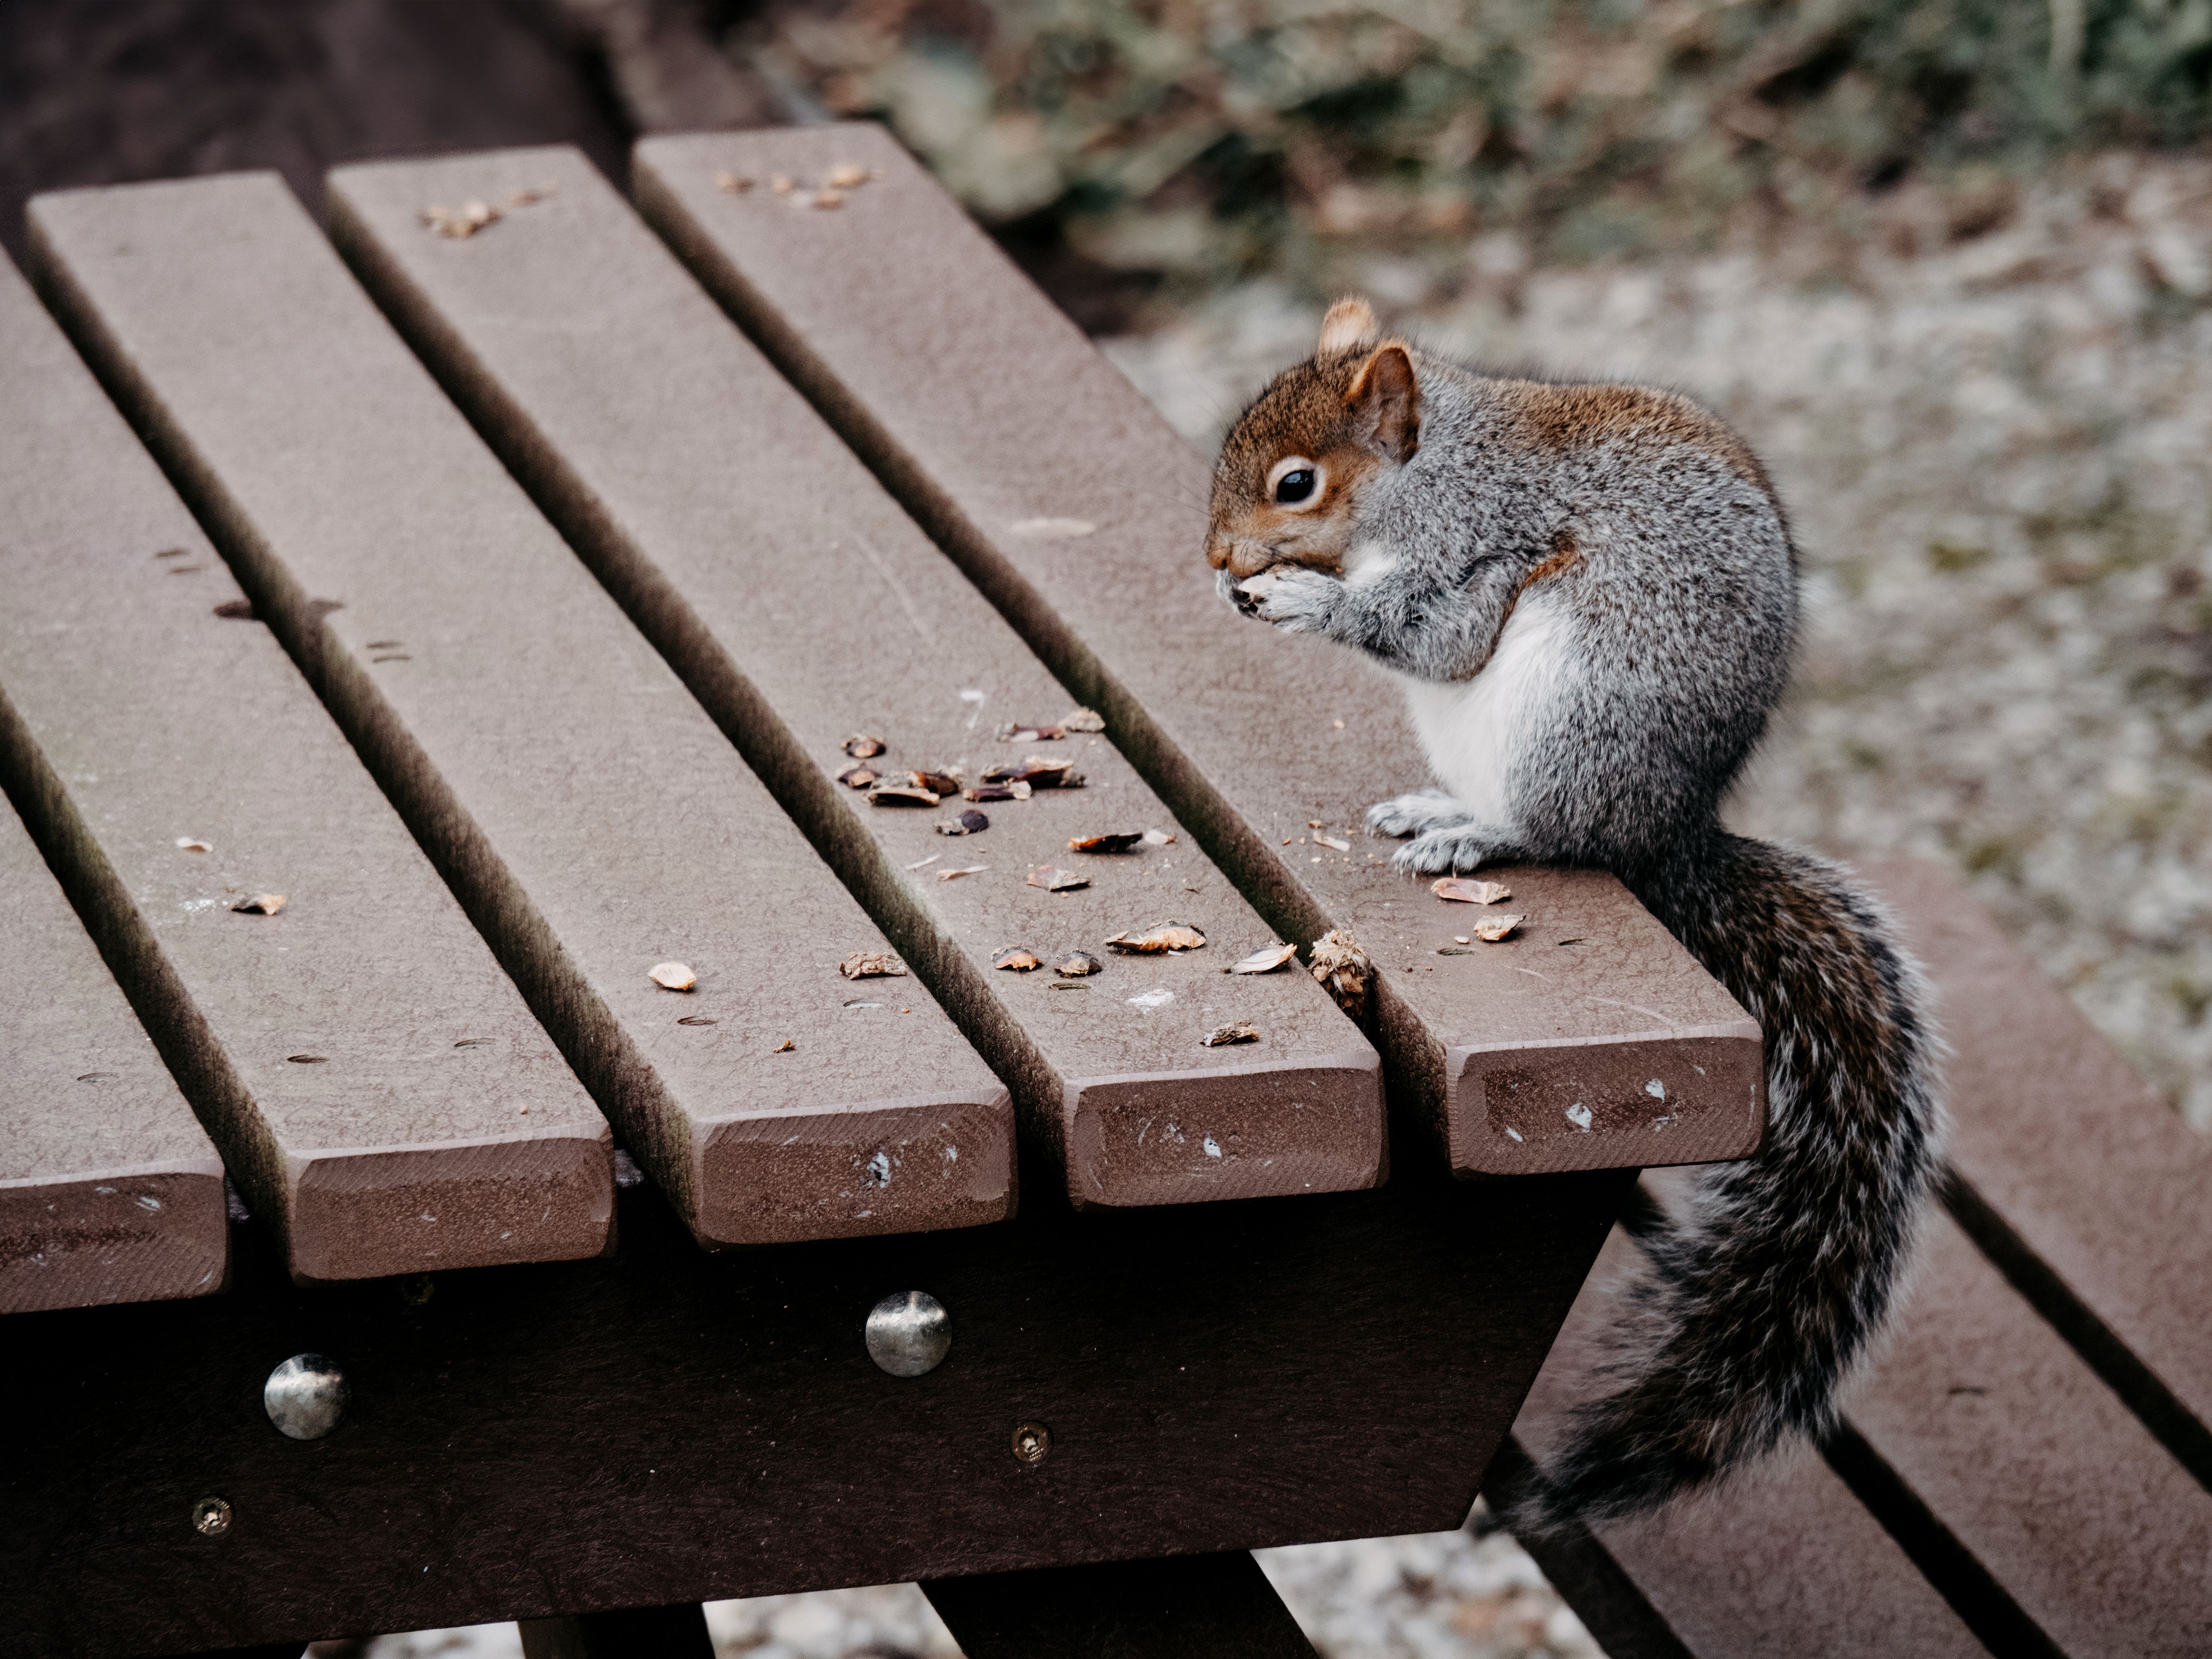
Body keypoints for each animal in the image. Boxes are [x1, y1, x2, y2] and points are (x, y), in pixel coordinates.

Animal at [1204, 296, 1947, 1532]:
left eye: (1296, 484)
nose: (1219, 562)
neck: (1430, 471)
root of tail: (1665, 834)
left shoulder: (1478, 552)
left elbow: (1435, 635)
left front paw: (1306, 601)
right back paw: (1439, 805)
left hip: (1571, 716)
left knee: (1557, 835)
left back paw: (1479, 834)